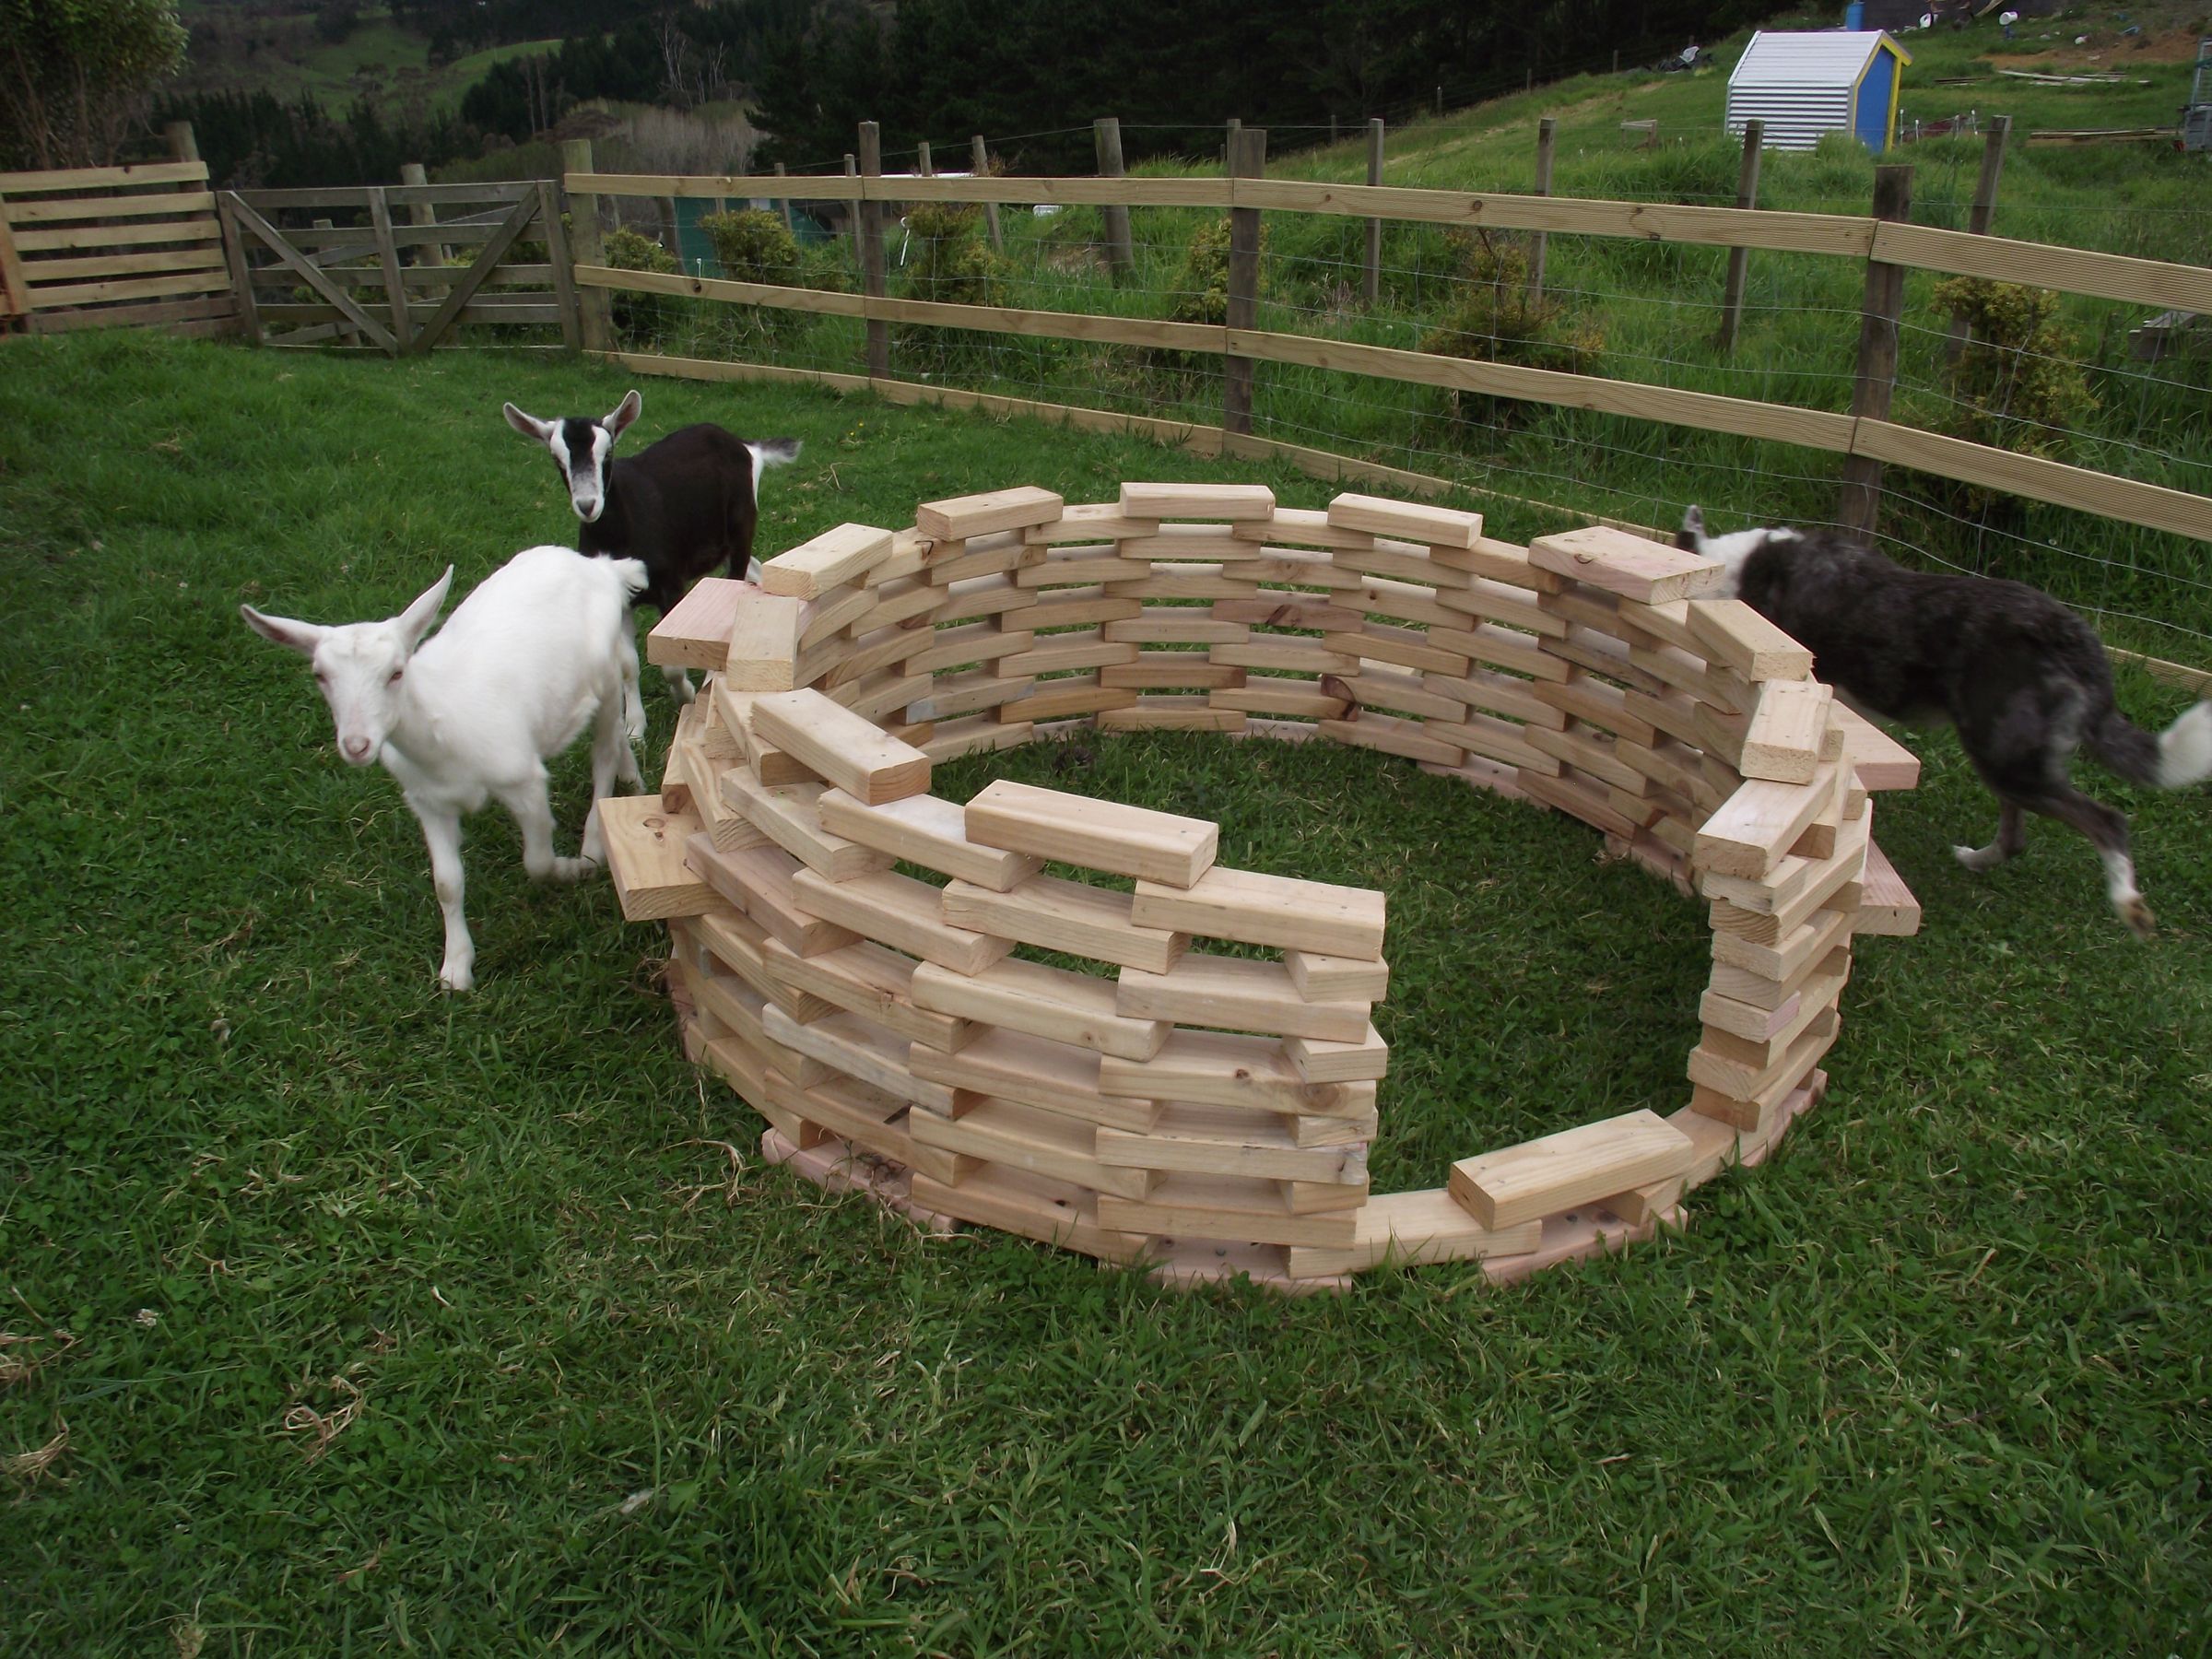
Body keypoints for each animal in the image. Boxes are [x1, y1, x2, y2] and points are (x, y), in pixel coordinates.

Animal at [241, 546, 650, 991]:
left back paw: (593, 845)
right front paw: (456, 968)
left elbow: (537, 862)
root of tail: (601, 566)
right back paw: (631, 777)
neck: (442, 729)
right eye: (320, 675)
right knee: (612, 739)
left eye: (396, 672)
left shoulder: (522, 779)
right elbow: (446, 884)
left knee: (603, 752)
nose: (356, 745)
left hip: (605, 675)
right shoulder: (427, 801)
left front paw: (569, 869)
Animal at [502, 389, 801, 703]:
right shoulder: (620, 598)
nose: (587, 505)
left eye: (607, 453)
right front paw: (636, 718)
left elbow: (672, 663)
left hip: (742, 523)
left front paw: (686, 696)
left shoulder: (670, 586)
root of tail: (744, 445)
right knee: (752, 569)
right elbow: (626, 666)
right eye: (556, 458)